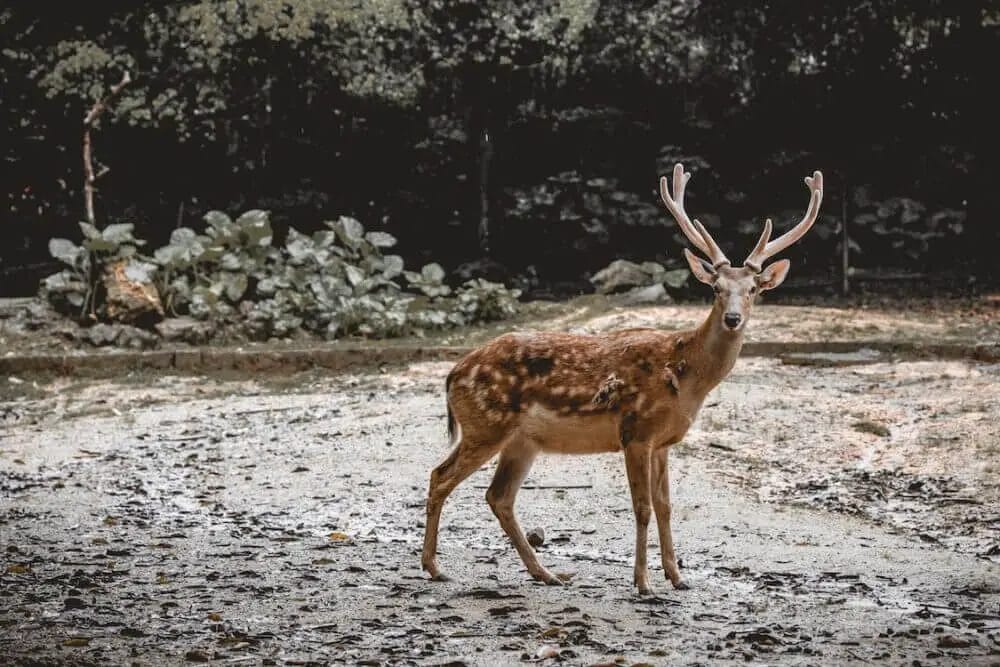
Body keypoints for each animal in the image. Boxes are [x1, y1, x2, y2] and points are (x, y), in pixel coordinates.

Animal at [421, 163, 823, 594]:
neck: (686, 379)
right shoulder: (635, 431)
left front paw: (677, 577)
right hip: (486, 424)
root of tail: (453, 375)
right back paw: (434, 567)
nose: (733, 318)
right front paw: (643, 583)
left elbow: (665, 506)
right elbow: (642, 507)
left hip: (522, 440)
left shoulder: (663, 442)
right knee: (440, 476)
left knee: (498, 496)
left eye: (753, 290)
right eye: (715, 288)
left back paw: (545, 573)